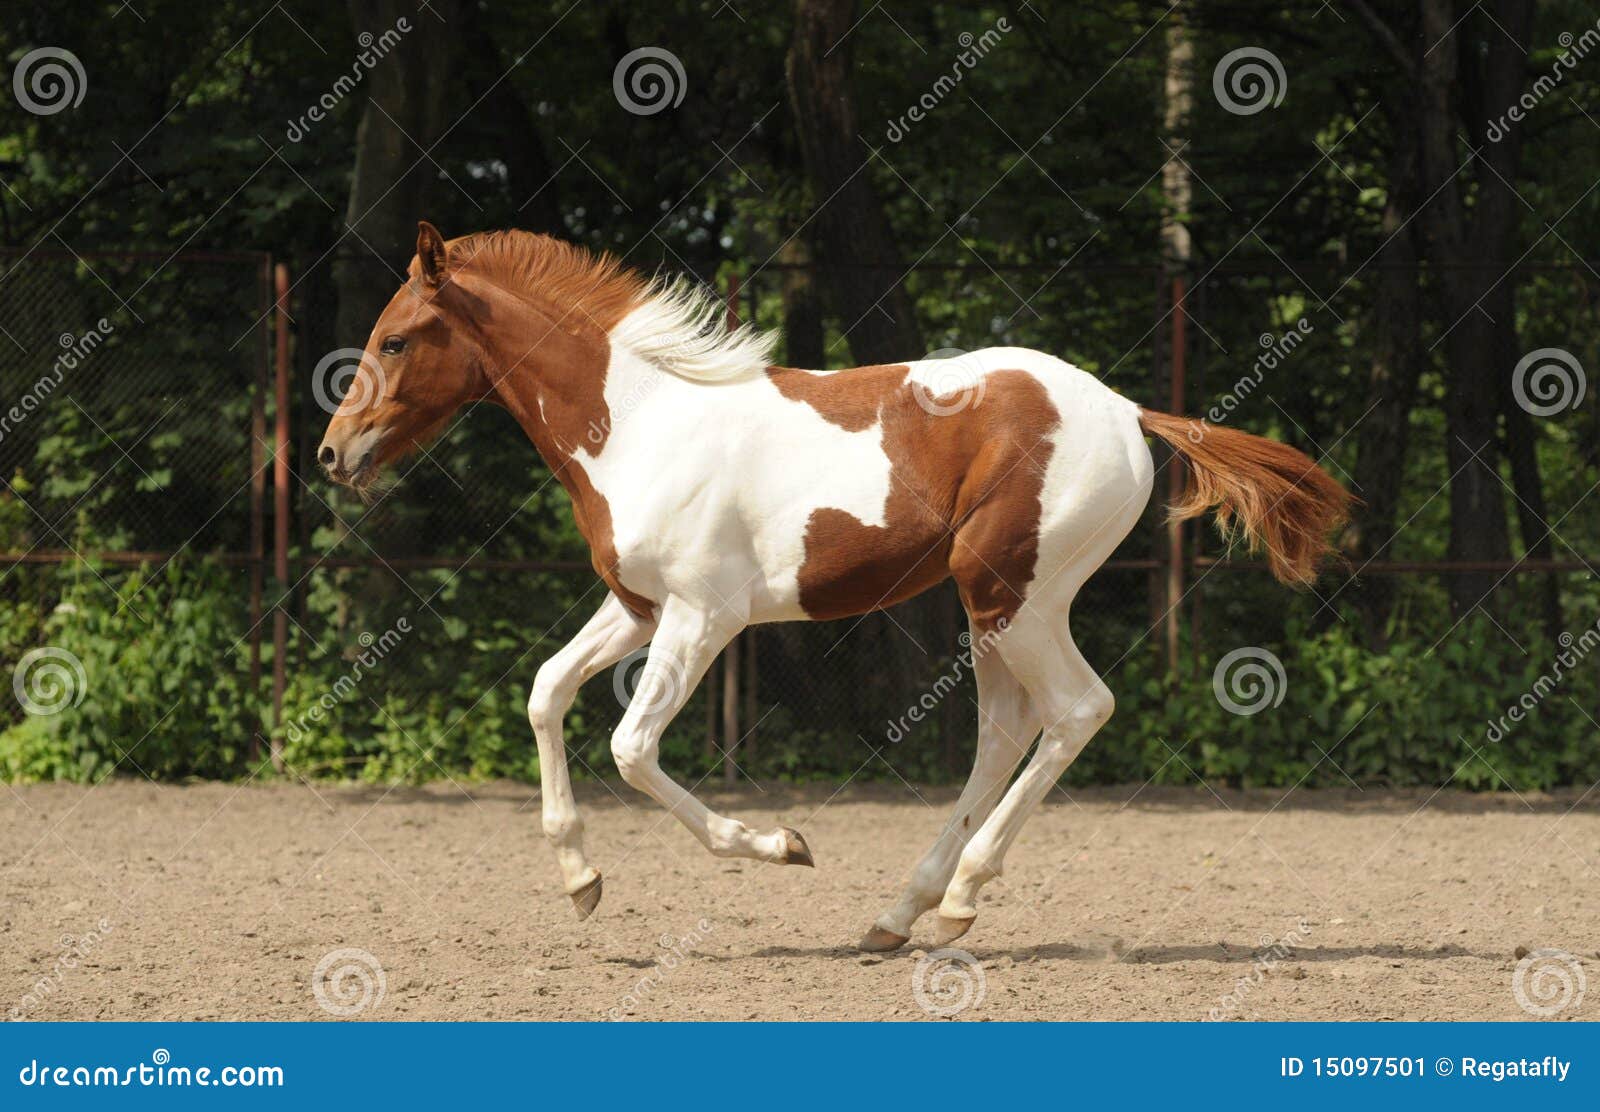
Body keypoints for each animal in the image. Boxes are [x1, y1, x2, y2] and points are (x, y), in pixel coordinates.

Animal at [318, 221, 1351, 951]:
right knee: (1007, 729)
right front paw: (581, 881)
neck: (637, 426)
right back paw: (904, 914)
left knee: (1073, 711)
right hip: (994, 612)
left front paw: (782, 846)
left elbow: (630, 747)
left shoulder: (704, 617)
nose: (332, 453)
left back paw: (958, 897)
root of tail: (1130, 410)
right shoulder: (638, 607)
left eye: (398, 340)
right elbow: (543, 692)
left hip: (1013, 596)